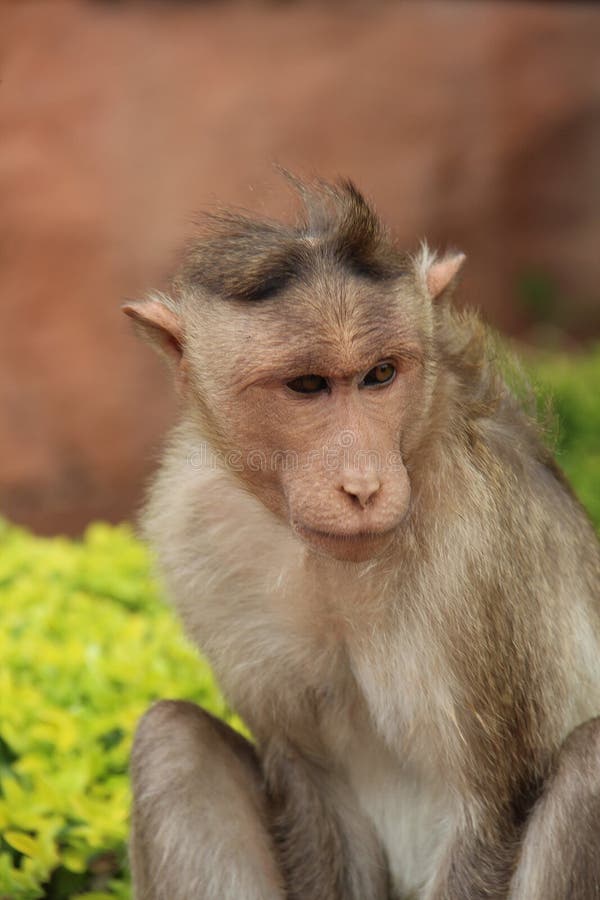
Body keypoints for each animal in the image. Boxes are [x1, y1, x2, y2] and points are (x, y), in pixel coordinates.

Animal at [123, 177, 600, 900]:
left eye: (380, 375)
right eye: (307, 385)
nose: (363, 485)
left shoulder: (481, 553)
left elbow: (487, 807)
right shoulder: (195, 525)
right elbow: (311, 786)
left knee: (591, 764)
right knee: (171, 739)